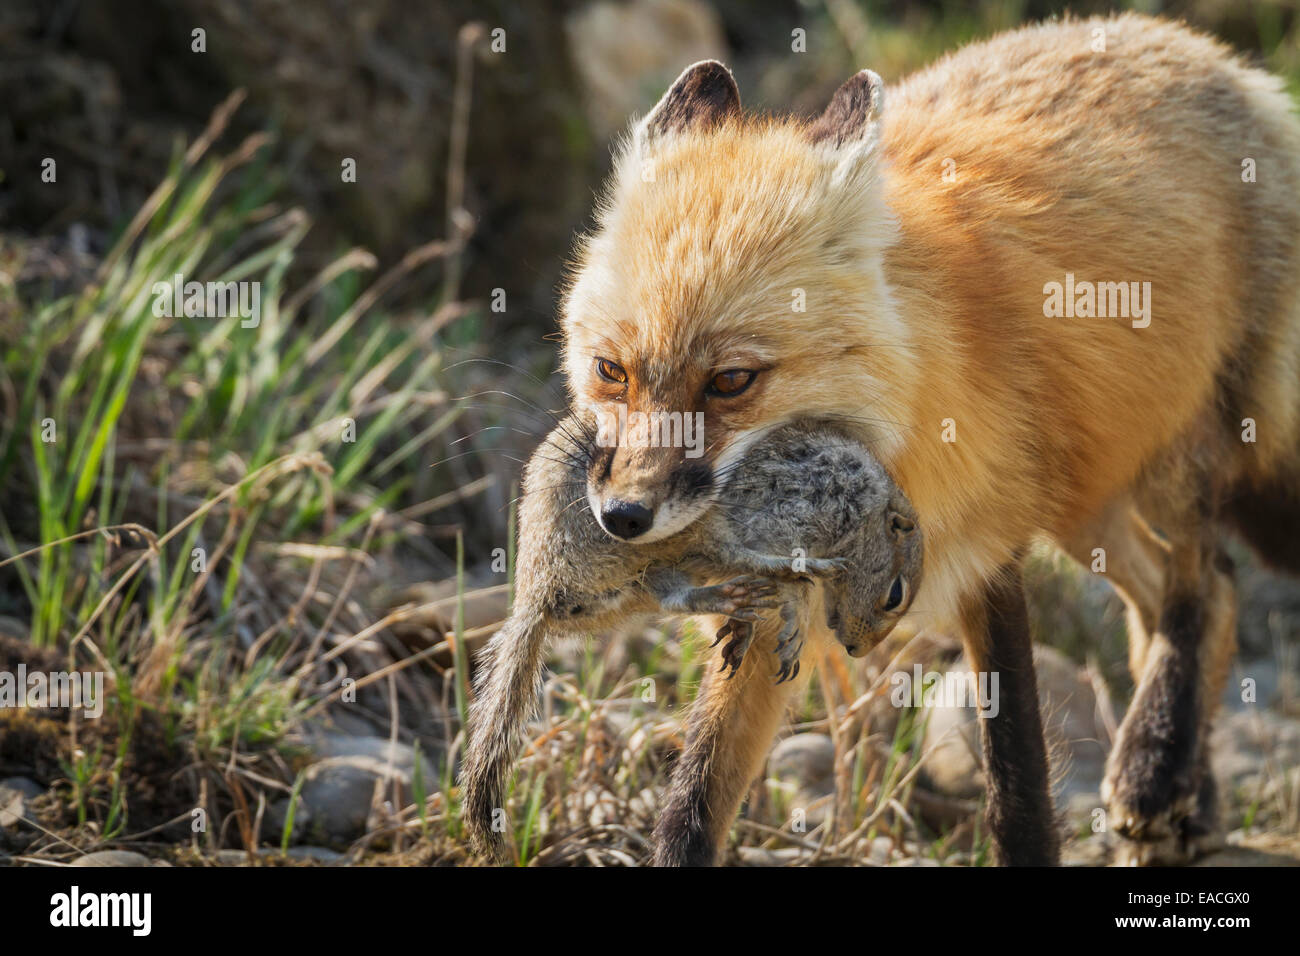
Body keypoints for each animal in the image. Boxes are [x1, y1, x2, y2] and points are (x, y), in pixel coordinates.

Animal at [460, 416, 921, 861]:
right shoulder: (785, 513)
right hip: (652, 537)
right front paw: (797, 605)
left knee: (672, 594)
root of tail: (536, 596)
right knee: (722, 563)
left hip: (646, 577)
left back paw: (731, 602)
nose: (858, 650)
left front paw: (766, 621)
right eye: (894, 595)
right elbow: (786, 573)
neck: (865, 507)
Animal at [558, 12, 1300, 866]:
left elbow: (1017, 785)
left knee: (1205, 582)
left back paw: (1153, 766)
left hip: (1166, 464)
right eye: (610, 371)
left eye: (732, 381)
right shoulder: (772, 602)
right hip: (1086, 497)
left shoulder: (988, 549)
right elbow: (694, 805)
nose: (624, 517)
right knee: (1181, 602)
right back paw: (1187, 793)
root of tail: (1202, 49)